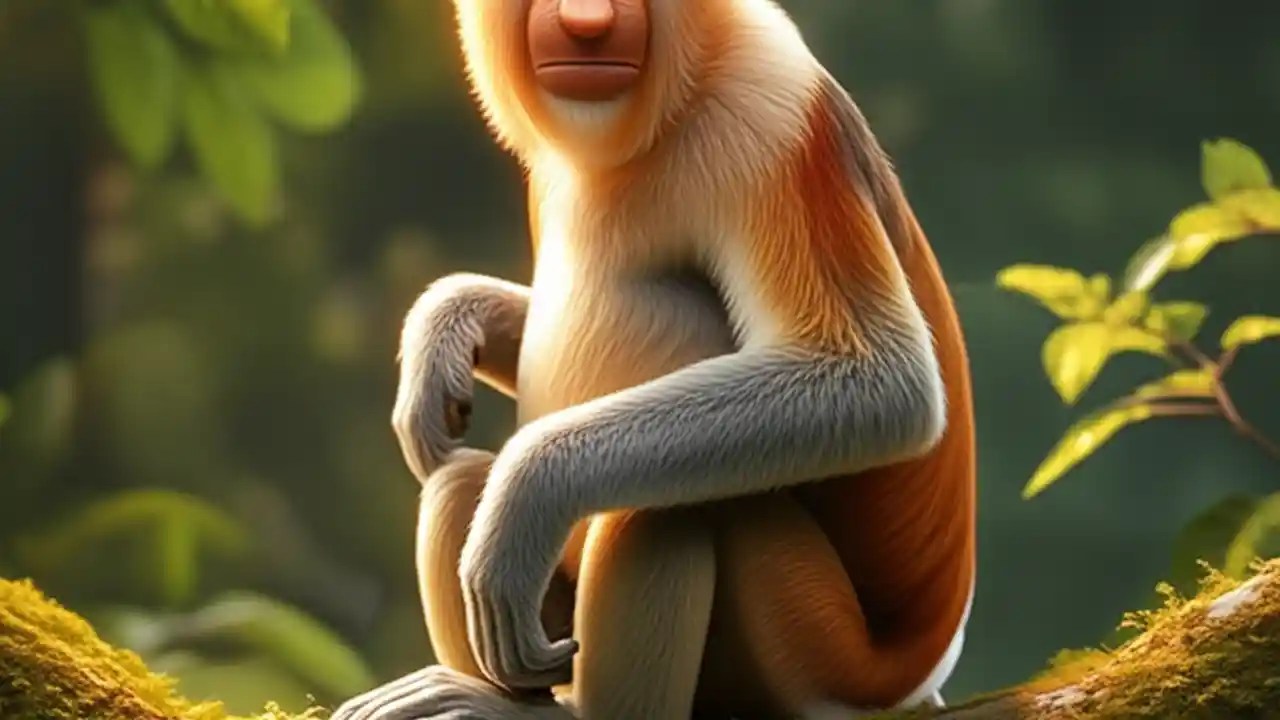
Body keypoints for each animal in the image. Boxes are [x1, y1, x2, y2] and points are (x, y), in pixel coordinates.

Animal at [331, 0, 976, 718]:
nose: (587, 24)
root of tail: (913, 681)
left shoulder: (768, 118)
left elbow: (883, 381)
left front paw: (527, 495)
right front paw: (443, 334)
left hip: (817, 653)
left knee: (658, 509)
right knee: (457, 481)